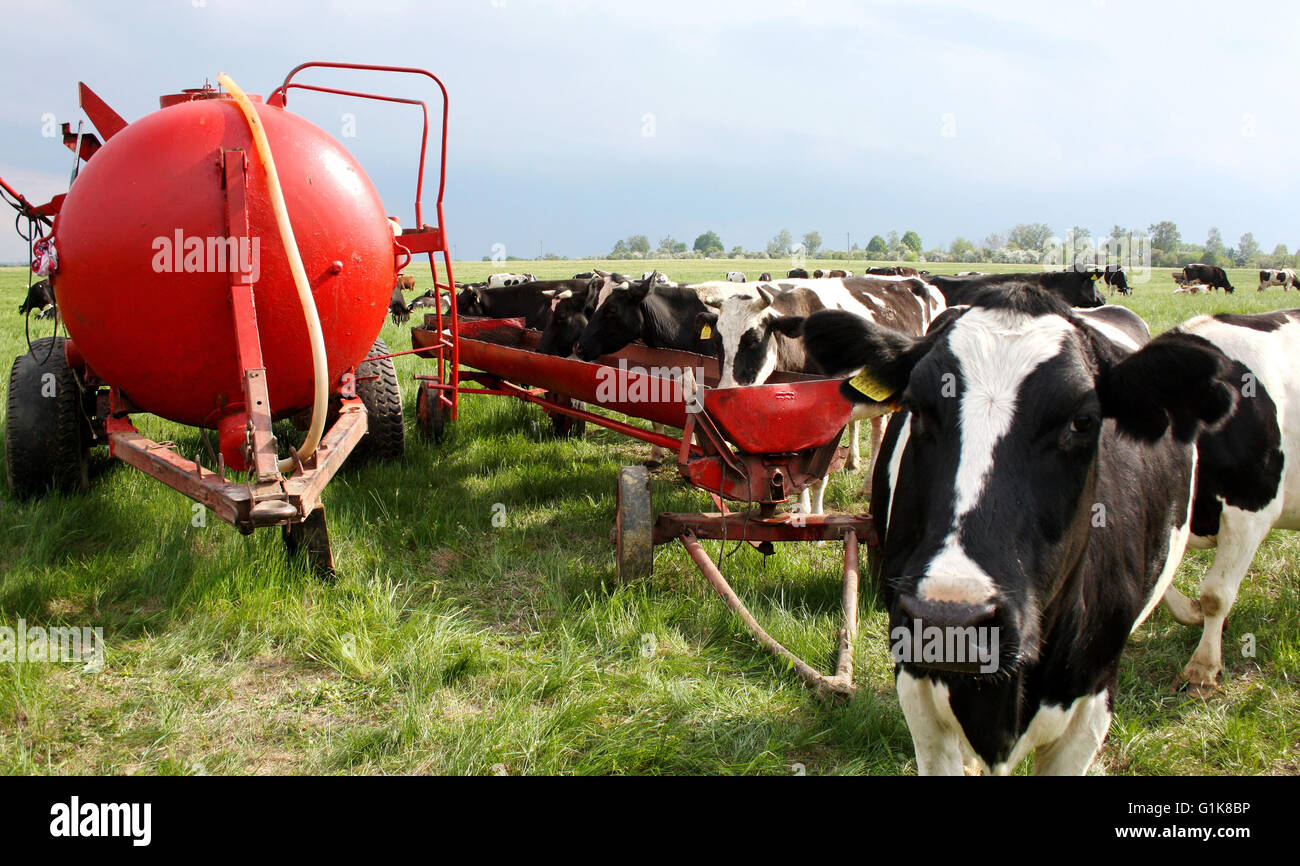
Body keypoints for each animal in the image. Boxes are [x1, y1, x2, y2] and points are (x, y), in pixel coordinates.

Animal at [695, 276, 946, 512]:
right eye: (716, 342)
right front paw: (801, 506)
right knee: (878, 431)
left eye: (754, 341)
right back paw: (866, 485)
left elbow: (817, 474)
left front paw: (813, 512)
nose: (725, 390)